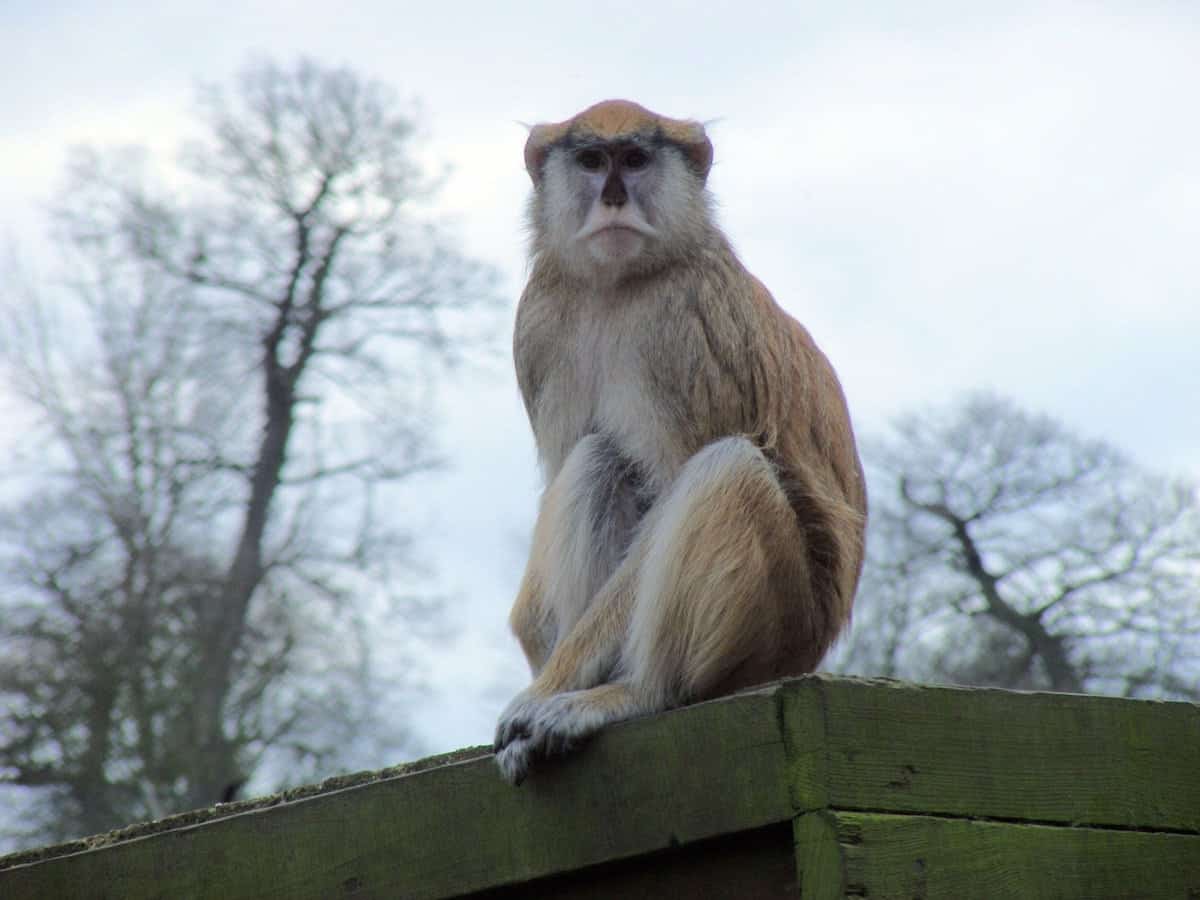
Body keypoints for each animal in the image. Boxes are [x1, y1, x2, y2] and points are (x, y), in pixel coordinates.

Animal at [493, 100, 867, 785]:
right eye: (593, 160)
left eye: (637, 159)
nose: (614, 197)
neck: (619, 286)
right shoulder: (541, 320)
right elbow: (571, 469)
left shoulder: (685, 326)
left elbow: (677, 484)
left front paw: (546, 688)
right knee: (596, 459)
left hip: (776, 622)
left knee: (727, 467)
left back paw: (639, 692)